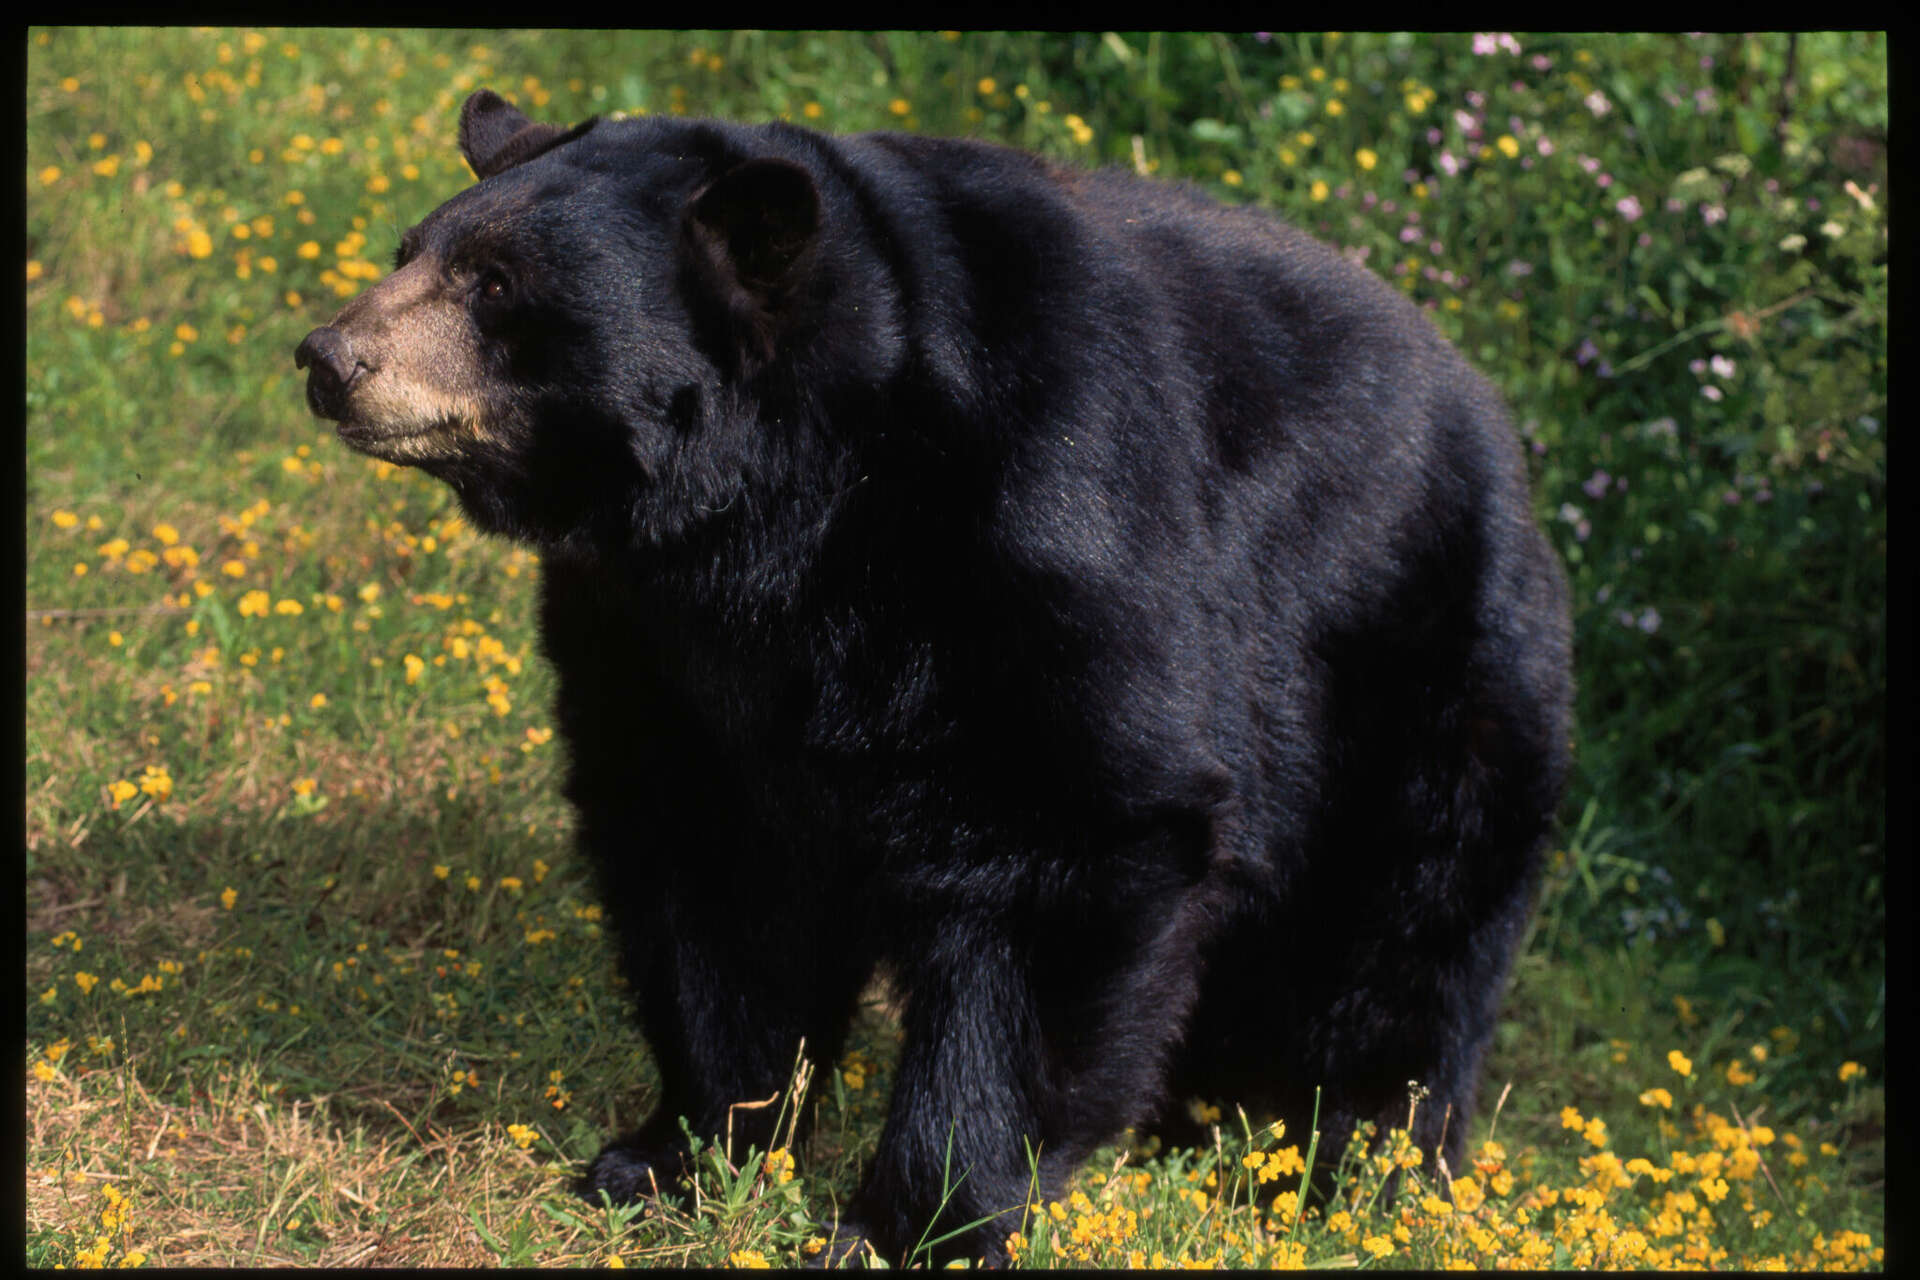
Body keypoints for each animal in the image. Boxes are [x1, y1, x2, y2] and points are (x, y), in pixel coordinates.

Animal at [296, 87, 1572, 1265]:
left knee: (1392, 946)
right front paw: (676, 1151)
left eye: (495, 283)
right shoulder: (663, 631)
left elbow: (1072, 841)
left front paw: (915, 1220)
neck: (790, 504)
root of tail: (1502, 430)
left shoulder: (1041, 521)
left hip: (1416, 678)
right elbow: (712, 859)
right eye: (414, 249)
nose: (327, 356)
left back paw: (1334, 1170)